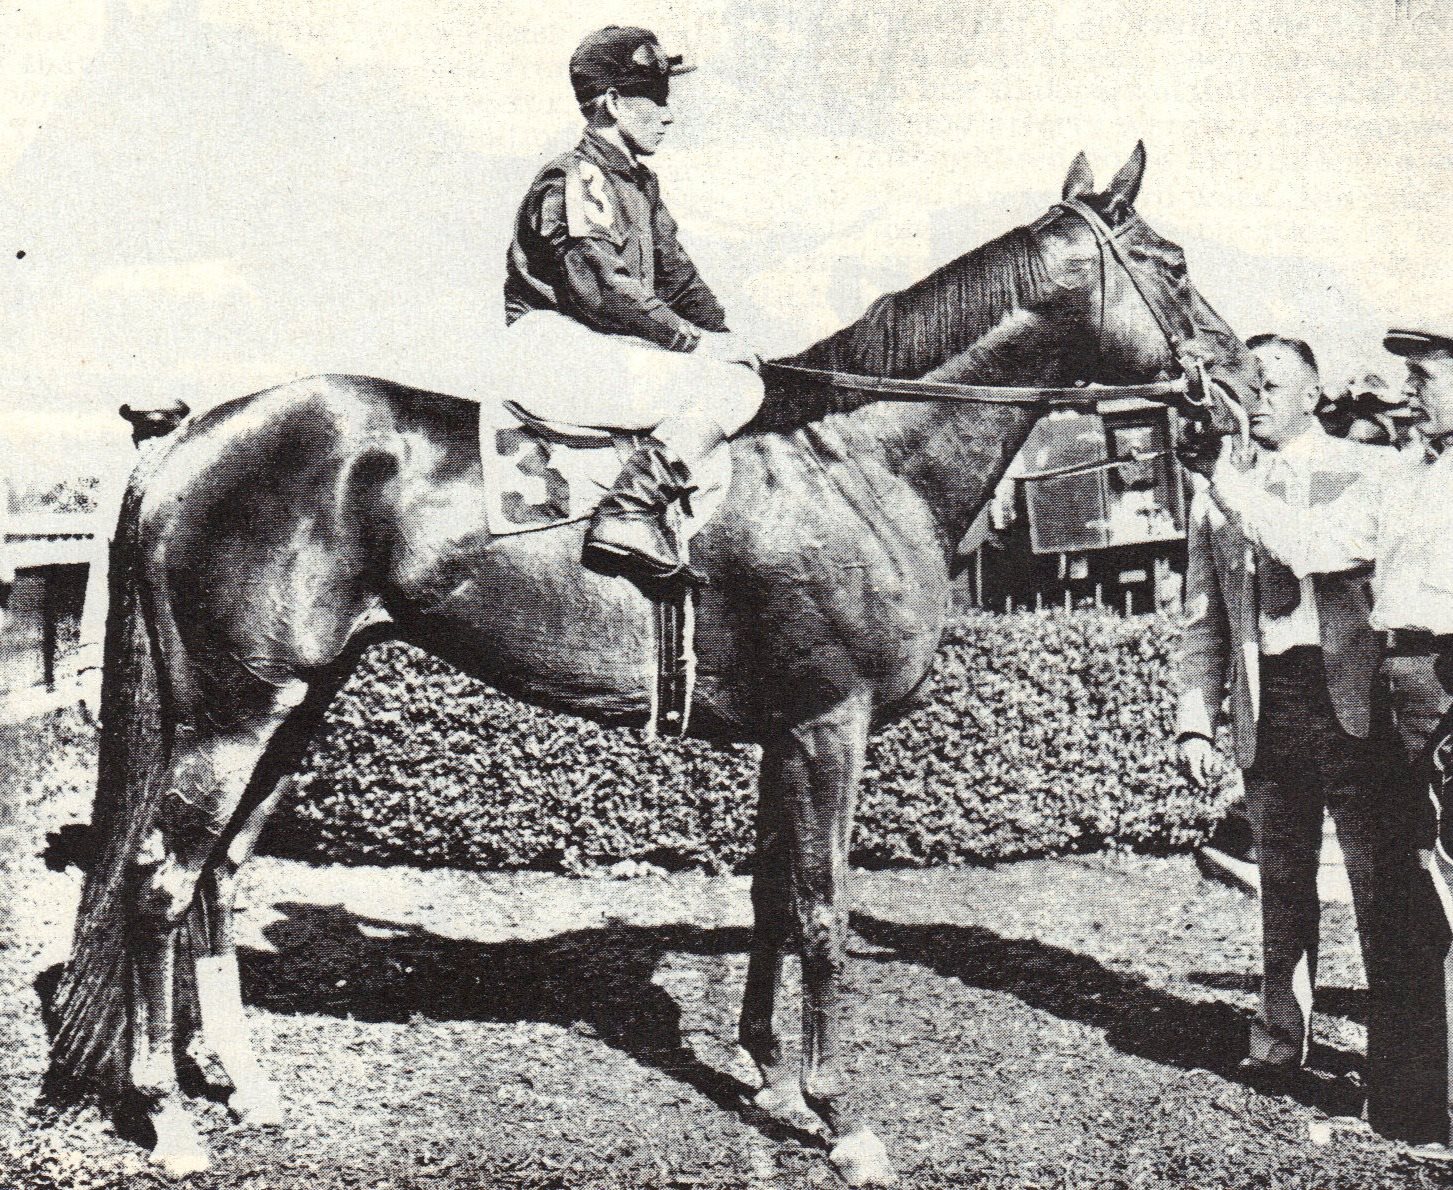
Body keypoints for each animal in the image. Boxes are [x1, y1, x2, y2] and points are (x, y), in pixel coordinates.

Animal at [49, 144, 1254, 1184]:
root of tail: (190, 434)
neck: (851, 461)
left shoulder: (784, 734)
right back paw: (166, 1115)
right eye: (1174, 263)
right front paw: (840, 1116)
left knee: (217, 878)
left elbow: (771, 898)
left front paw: (768, 1078)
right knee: (160, 880)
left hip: (295, 711)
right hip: (233, 715)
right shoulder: (832, 725)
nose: (1242, 387)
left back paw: (243, 1083)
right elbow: (822, 909)